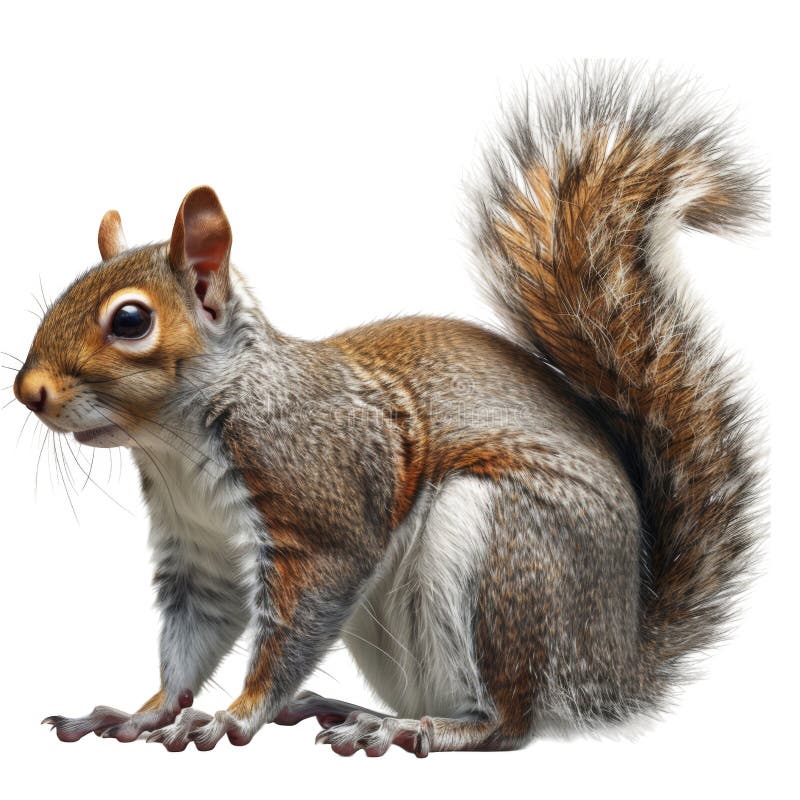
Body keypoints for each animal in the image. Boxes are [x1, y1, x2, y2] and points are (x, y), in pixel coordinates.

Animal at [15, 65, 764, 756]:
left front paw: (233, 717)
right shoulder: (199, 549)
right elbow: (192, 638)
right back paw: (353, 711)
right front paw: (141, 712)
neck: (176, 444)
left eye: (131, 320)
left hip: (507, 552)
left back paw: (419, 729)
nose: (29, 392)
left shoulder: (320, 505)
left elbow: (294, 625)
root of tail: (614, 664)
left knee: (509, 723)